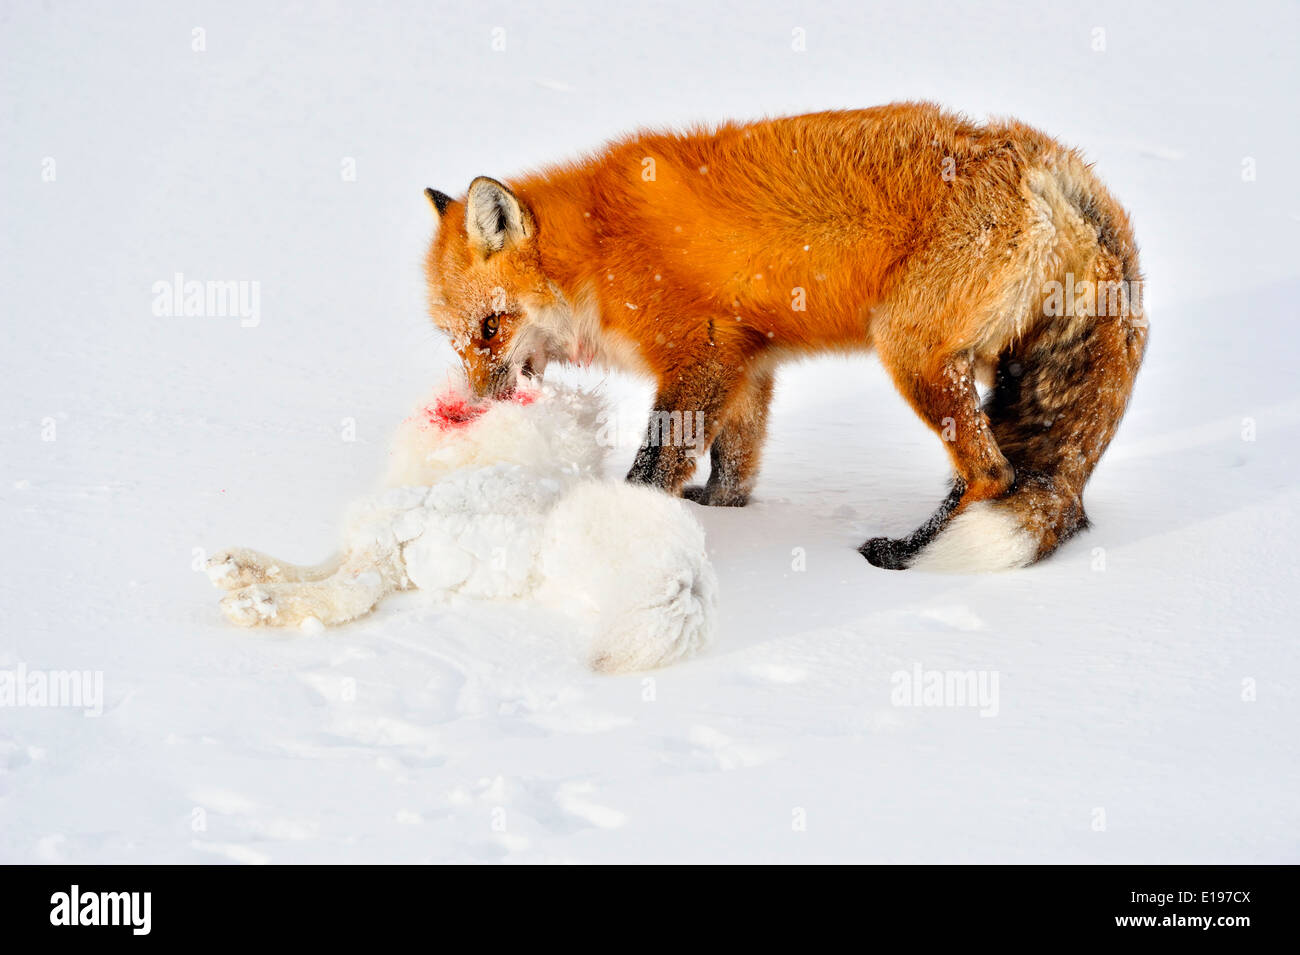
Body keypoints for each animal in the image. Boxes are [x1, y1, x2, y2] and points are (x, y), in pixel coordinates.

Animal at [422, 101, 1148, 571]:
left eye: (492, 327)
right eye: (457, 339)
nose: (475, 405)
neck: (596, 254)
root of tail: (1053, 167)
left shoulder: (701, 353)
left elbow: (655, 463)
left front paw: (622, 524)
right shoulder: (749, 363)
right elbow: (734, 468)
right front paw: (723, 516)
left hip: (909, 350)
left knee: (993, 473)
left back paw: (908, 552)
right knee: (1014, 473)